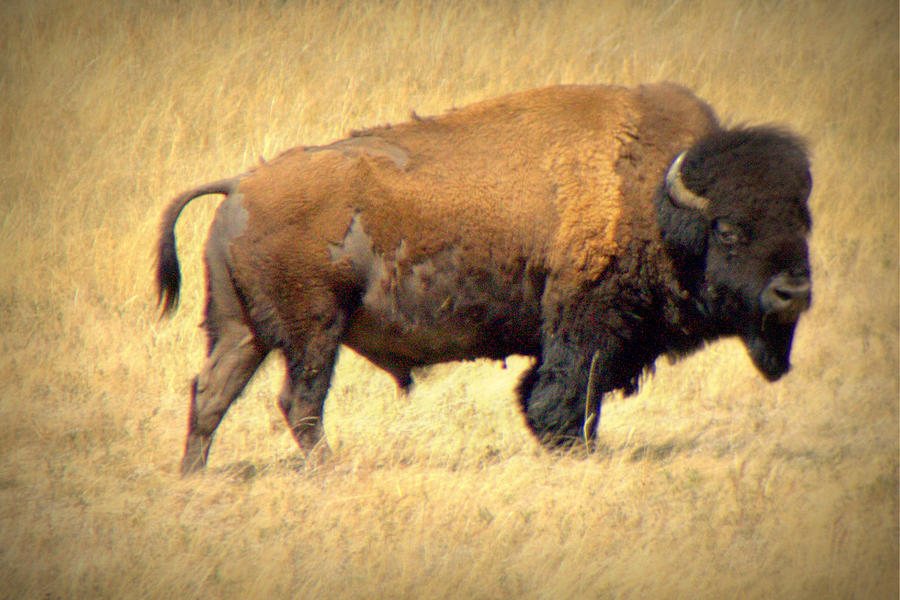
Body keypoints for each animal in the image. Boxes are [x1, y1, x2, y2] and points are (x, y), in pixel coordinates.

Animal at [156, 83, 812, 474]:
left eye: (803, 220)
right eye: (728, 230)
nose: (793, 292)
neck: (652, 195)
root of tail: (241, 185)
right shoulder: (586, 325)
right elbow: (564, 393)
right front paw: (574, 451)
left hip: (241, 329)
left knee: (211, 392)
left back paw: (194, 476)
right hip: (313, 330)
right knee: (300, 401)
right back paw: (330, 471)